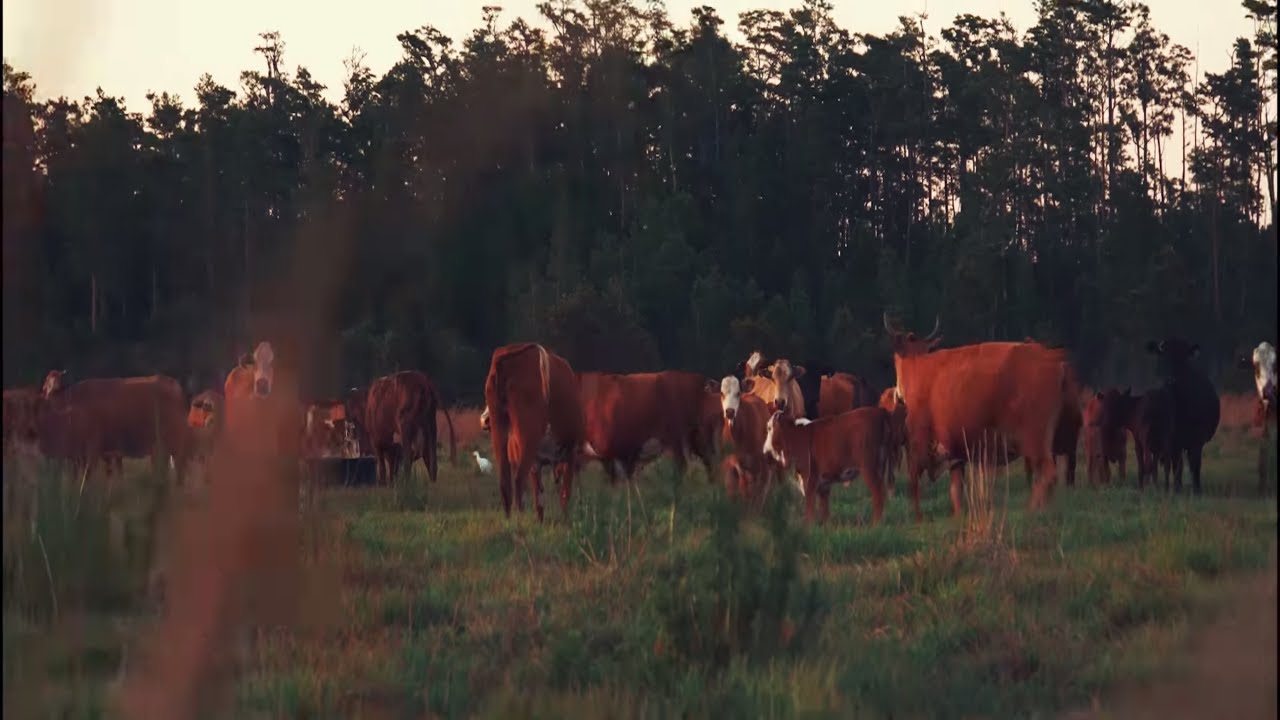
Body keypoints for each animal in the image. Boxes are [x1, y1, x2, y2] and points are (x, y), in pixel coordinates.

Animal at [482, 343, 586, 521]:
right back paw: (521, 521)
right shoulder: (570, 452)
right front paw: (566, 521)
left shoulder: (536, 462)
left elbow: (540, 499)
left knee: (505, 483)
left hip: (499, 430)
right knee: (519, 481)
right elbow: (565, 493)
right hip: (528, 436)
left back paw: (510, 522)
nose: (484, 420)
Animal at [762, 407, 891, 525]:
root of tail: (879, 411)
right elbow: (825, 512)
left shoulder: (809, 480)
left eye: (769, 428)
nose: (765, 453)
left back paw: (875, 525)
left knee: (879, 494)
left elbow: (810, 510)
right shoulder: (824, 484)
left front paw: (808, 528)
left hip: (869, 468)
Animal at [883, 314, 1071, 521]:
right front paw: (958, 517)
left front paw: (918, 518)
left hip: (1033, 439)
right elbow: (956, 490)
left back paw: (1030, 511)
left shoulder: (918, 445)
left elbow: (914, 484)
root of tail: (1051, 358)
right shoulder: (955, 452)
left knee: (1047, 473)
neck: (916, 364)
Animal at [1147, 338, 1220, 495]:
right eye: (1165, 357)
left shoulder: (1197, 440)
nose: (1171, 380)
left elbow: (1195, 464)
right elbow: (1176, 465)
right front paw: (1177, 488)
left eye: (1183, 360)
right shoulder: (1173, 441)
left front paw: (1197, 490)